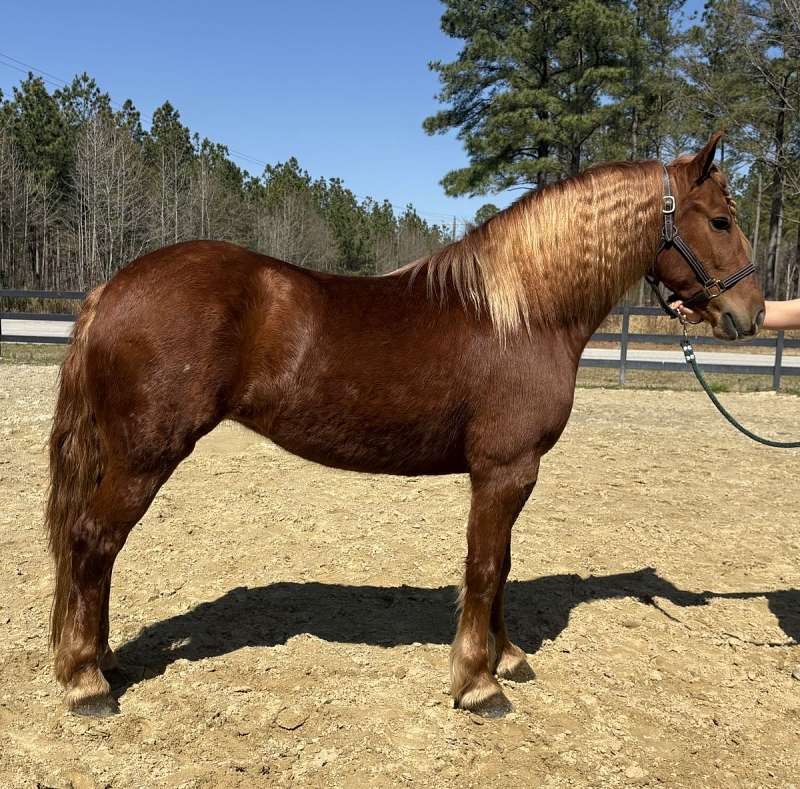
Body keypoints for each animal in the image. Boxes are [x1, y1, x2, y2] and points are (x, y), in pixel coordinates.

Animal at [46, 132, 764, 718]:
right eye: (721, 219)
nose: (751, 313)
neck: (523, 312)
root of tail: (110, 288)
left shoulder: (509, 474)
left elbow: (503, 567)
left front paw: (507, 658)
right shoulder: (506, 469)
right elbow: (484, 568)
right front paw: (477, 685)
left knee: (97, 550)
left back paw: (103, 662)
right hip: (146, 455)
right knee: (93, 541)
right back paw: (86, 682)